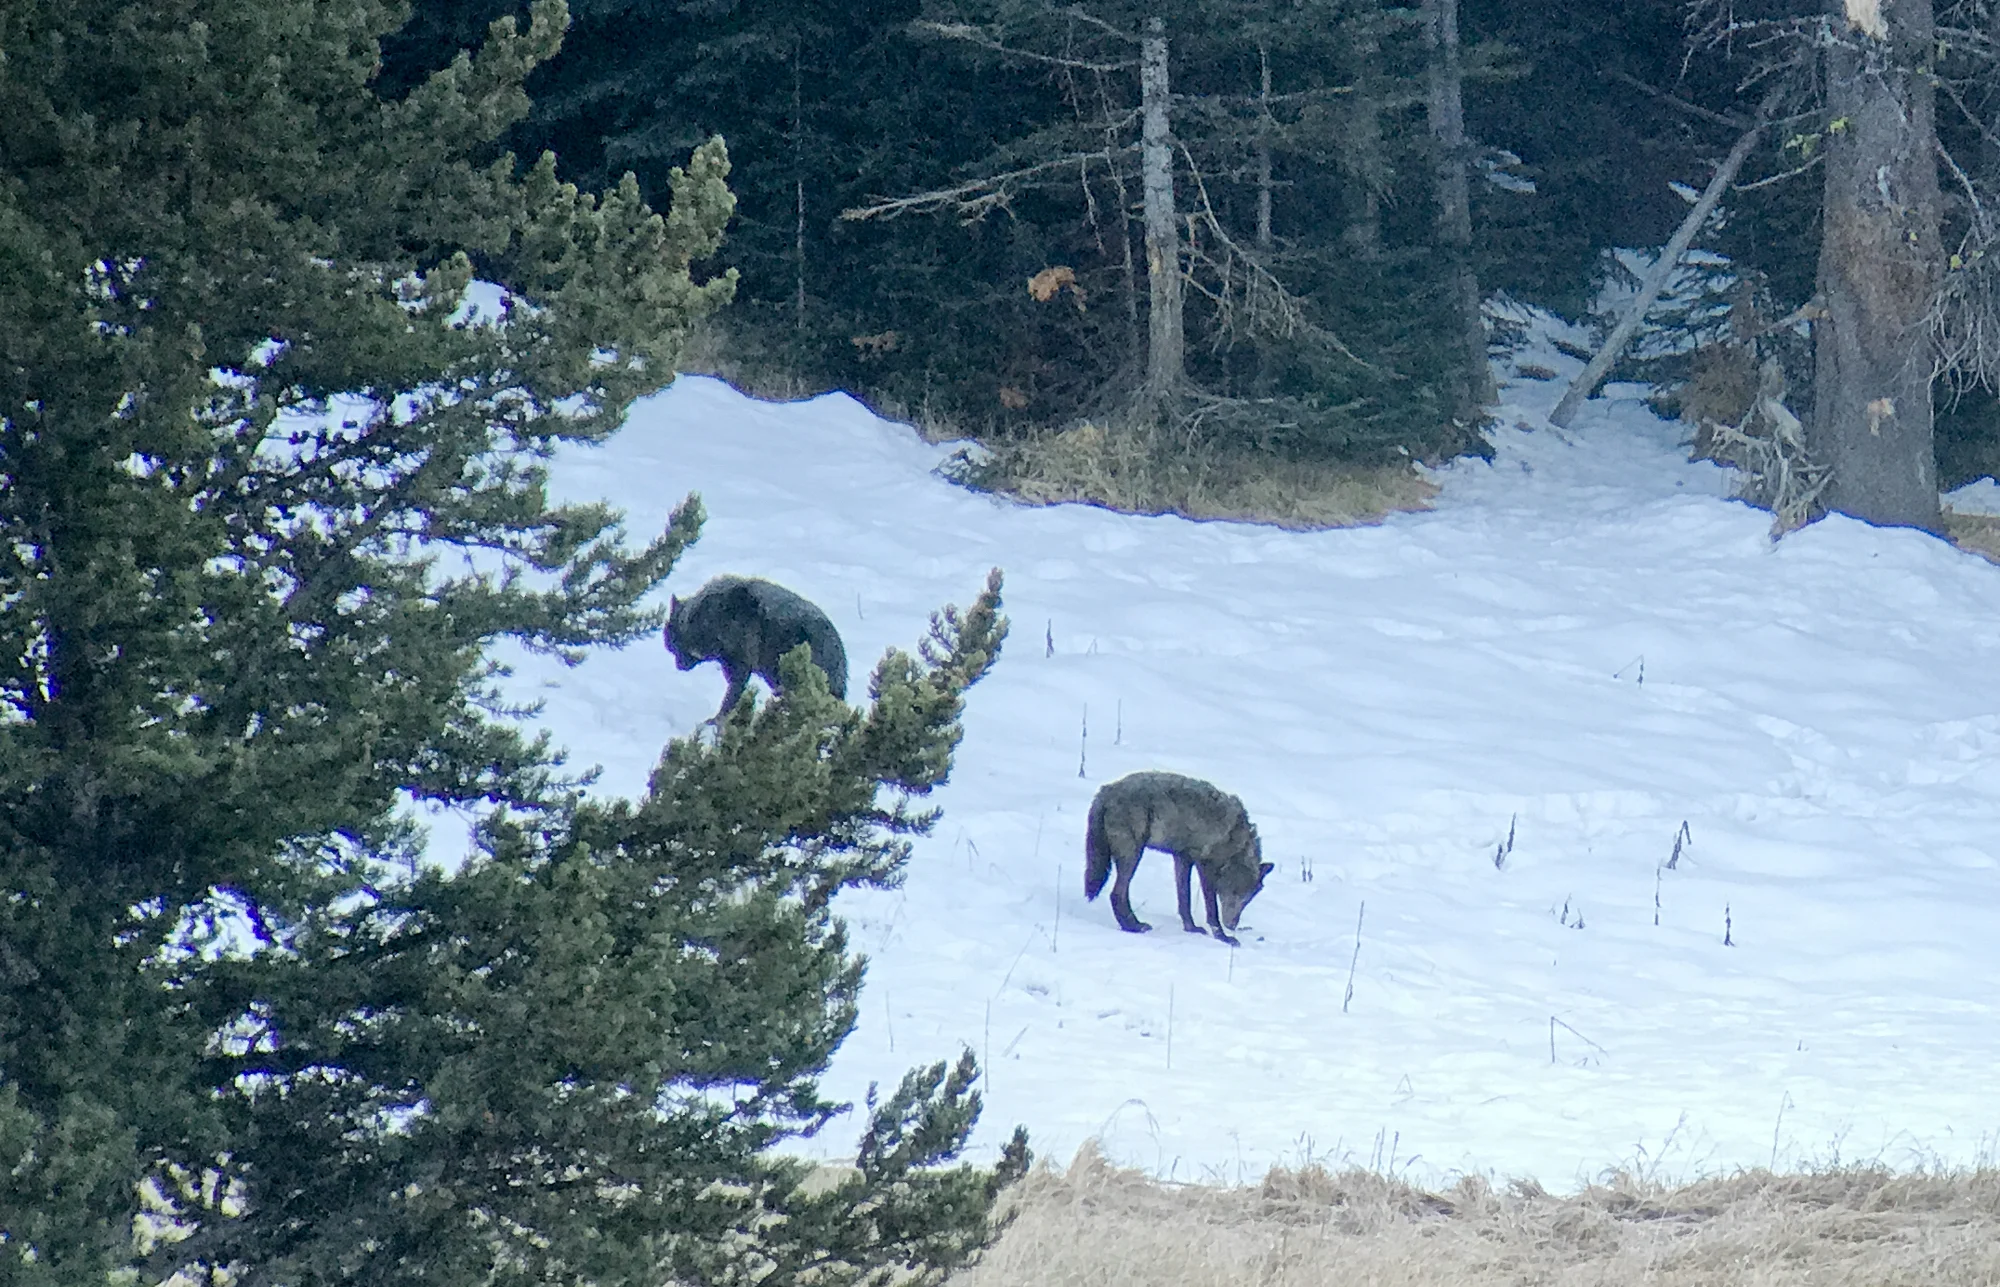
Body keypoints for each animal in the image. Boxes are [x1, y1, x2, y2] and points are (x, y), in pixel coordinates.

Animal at [1083, 771, 1273, 946]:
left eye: (1247, 899)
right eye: (1236, 894)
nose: (1232, 925)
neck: (1236, 839)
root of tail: (1106, 791)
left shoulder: (1183, 859)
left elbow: (1184, 899)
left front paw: (1191, 928)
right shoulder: (1204, 866)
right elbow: (1212, 909)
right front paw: (1223, 937)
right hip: (1133, 855)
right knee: (1117, 894)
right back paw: (1134, 927)